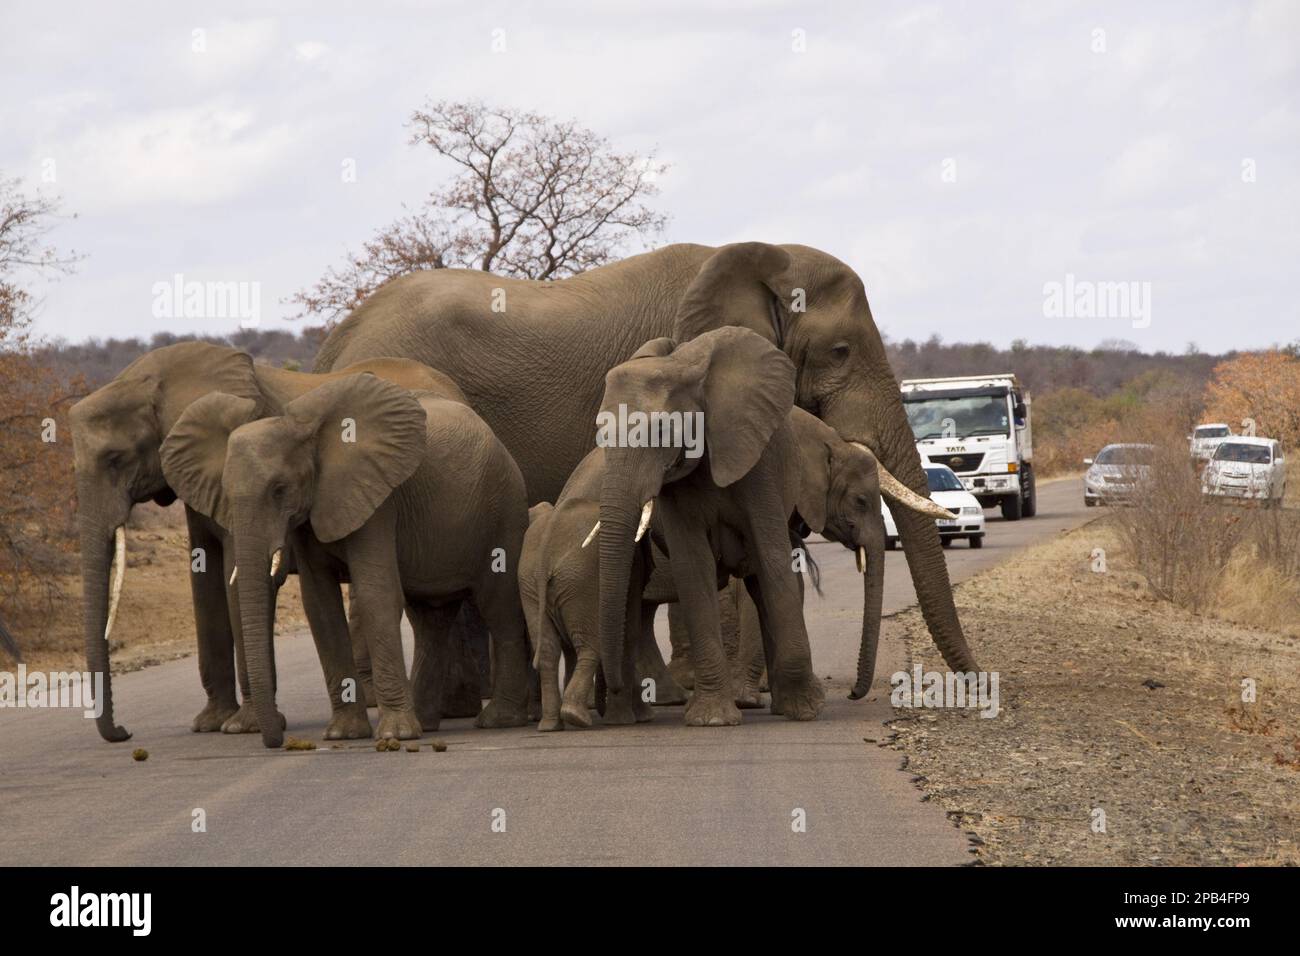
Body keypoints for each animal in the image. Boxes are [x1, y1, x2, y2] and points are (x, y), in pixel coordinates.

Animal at [68, 340, 474, 741]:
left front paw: (243, 726)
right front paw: (211, 724)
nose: (124, 733)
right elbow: (205, 584)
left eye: (114, 458)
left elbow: (237, 581)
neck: (152, 376)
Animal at [159, 372, 532, 747]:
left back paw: (497, 721)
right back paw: (426, 723)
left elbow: (376, 595)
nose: (276, 739)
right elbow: (319, 605)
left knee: (498, 607)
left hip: (504, 509)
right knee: (431, 619)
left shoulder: (379, 498)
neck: (307, 434)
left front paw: (395, 735)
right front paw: (345, 733)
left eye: (279, 489)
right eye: (225, 491)